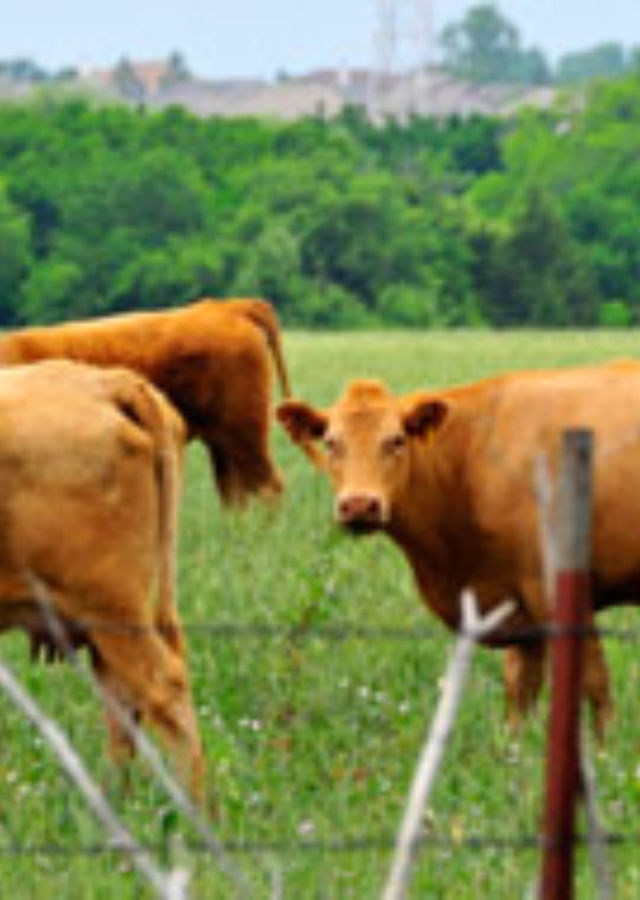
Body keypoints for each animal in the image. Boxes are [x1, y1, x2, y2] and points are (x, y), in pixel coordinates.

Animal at [276, 361, 640, 740]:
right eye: (331, 443)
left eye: (396, 440)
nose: (359, 504)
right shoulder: (518, 609)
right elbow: (520, 692)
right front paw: (513, 749)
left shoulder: (554, 589)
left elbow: (594, 682)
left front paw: (606, 747)